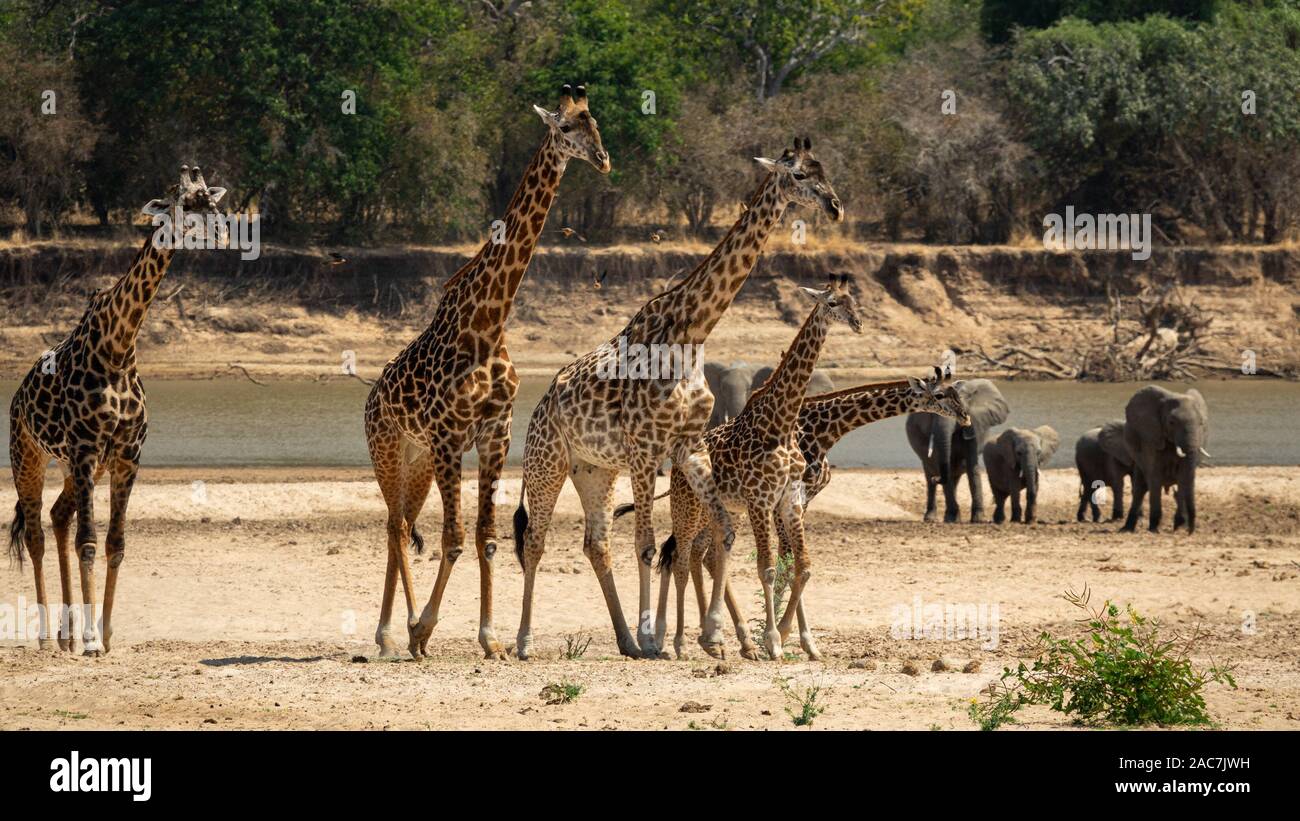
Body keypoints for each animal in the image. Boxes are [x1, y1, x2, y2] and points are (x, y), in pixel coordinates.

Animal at [7, 164, 228, 655]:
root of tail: (16, 395)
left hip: (78, 466)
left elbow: (115, 542)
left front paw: (105, 634)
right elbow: (90, 542)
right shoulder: (86, 449)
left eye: (212, 200)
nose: (221, 232)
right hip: (28, 455)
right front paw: (92, 640)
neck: (119, 347)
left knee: (58, 517)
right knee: (35, 532)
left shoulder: (126, 455)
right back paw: (48, 636)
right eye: (181, 201)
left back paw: (66, 634)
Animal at [364, 84, 609, 660]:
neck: (488, 324)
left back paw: (389, 632)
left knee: (399, 523)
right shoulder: (450, 436)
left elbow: (487, 537)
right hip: (387, 448)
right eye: (566, 128)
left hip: (416, 460)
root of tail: (370, 397)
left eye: (597, 123)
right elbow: (454, 538)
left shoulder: (494, 433)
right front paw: (424, 629)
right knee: (395, 526)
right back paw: (395, 631)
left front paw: (491, 639)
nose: (604, 160)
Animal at [638, 278, 864, 661]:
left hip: (722, 511)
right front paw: (773, 641)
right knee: (680, 561)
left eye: (855, 301)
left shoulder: (790, 500)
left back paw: (713, 640)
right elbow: (768, 568)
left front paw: (797, 641)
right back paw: (681, 643)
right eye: (833, 302)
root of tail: (677, 465)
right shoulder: (760, 500)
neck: (781, 423)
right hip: (686, 508)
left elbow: (802, 566)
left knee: (703, 557)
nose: (858, 324)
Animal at [905, 378, 1010, 522]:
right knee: (930, 472)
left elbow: (972, 467)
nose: (936, 479)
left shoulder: (973, 426)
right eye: (933, 411)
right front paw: (952, 519)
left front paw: (978, 520)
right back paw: (932, 518)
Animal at [1120, 385, 1210, 534]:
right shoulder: (1152, 438)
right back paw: (1127, 529)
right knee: (1140, 487)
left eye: (1201, 423)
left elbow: (1183, 478)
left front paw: (1179, 526)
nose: (1190, 532)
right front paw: (1154, 529)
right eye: (1171, 422)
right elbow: (1155, 477)